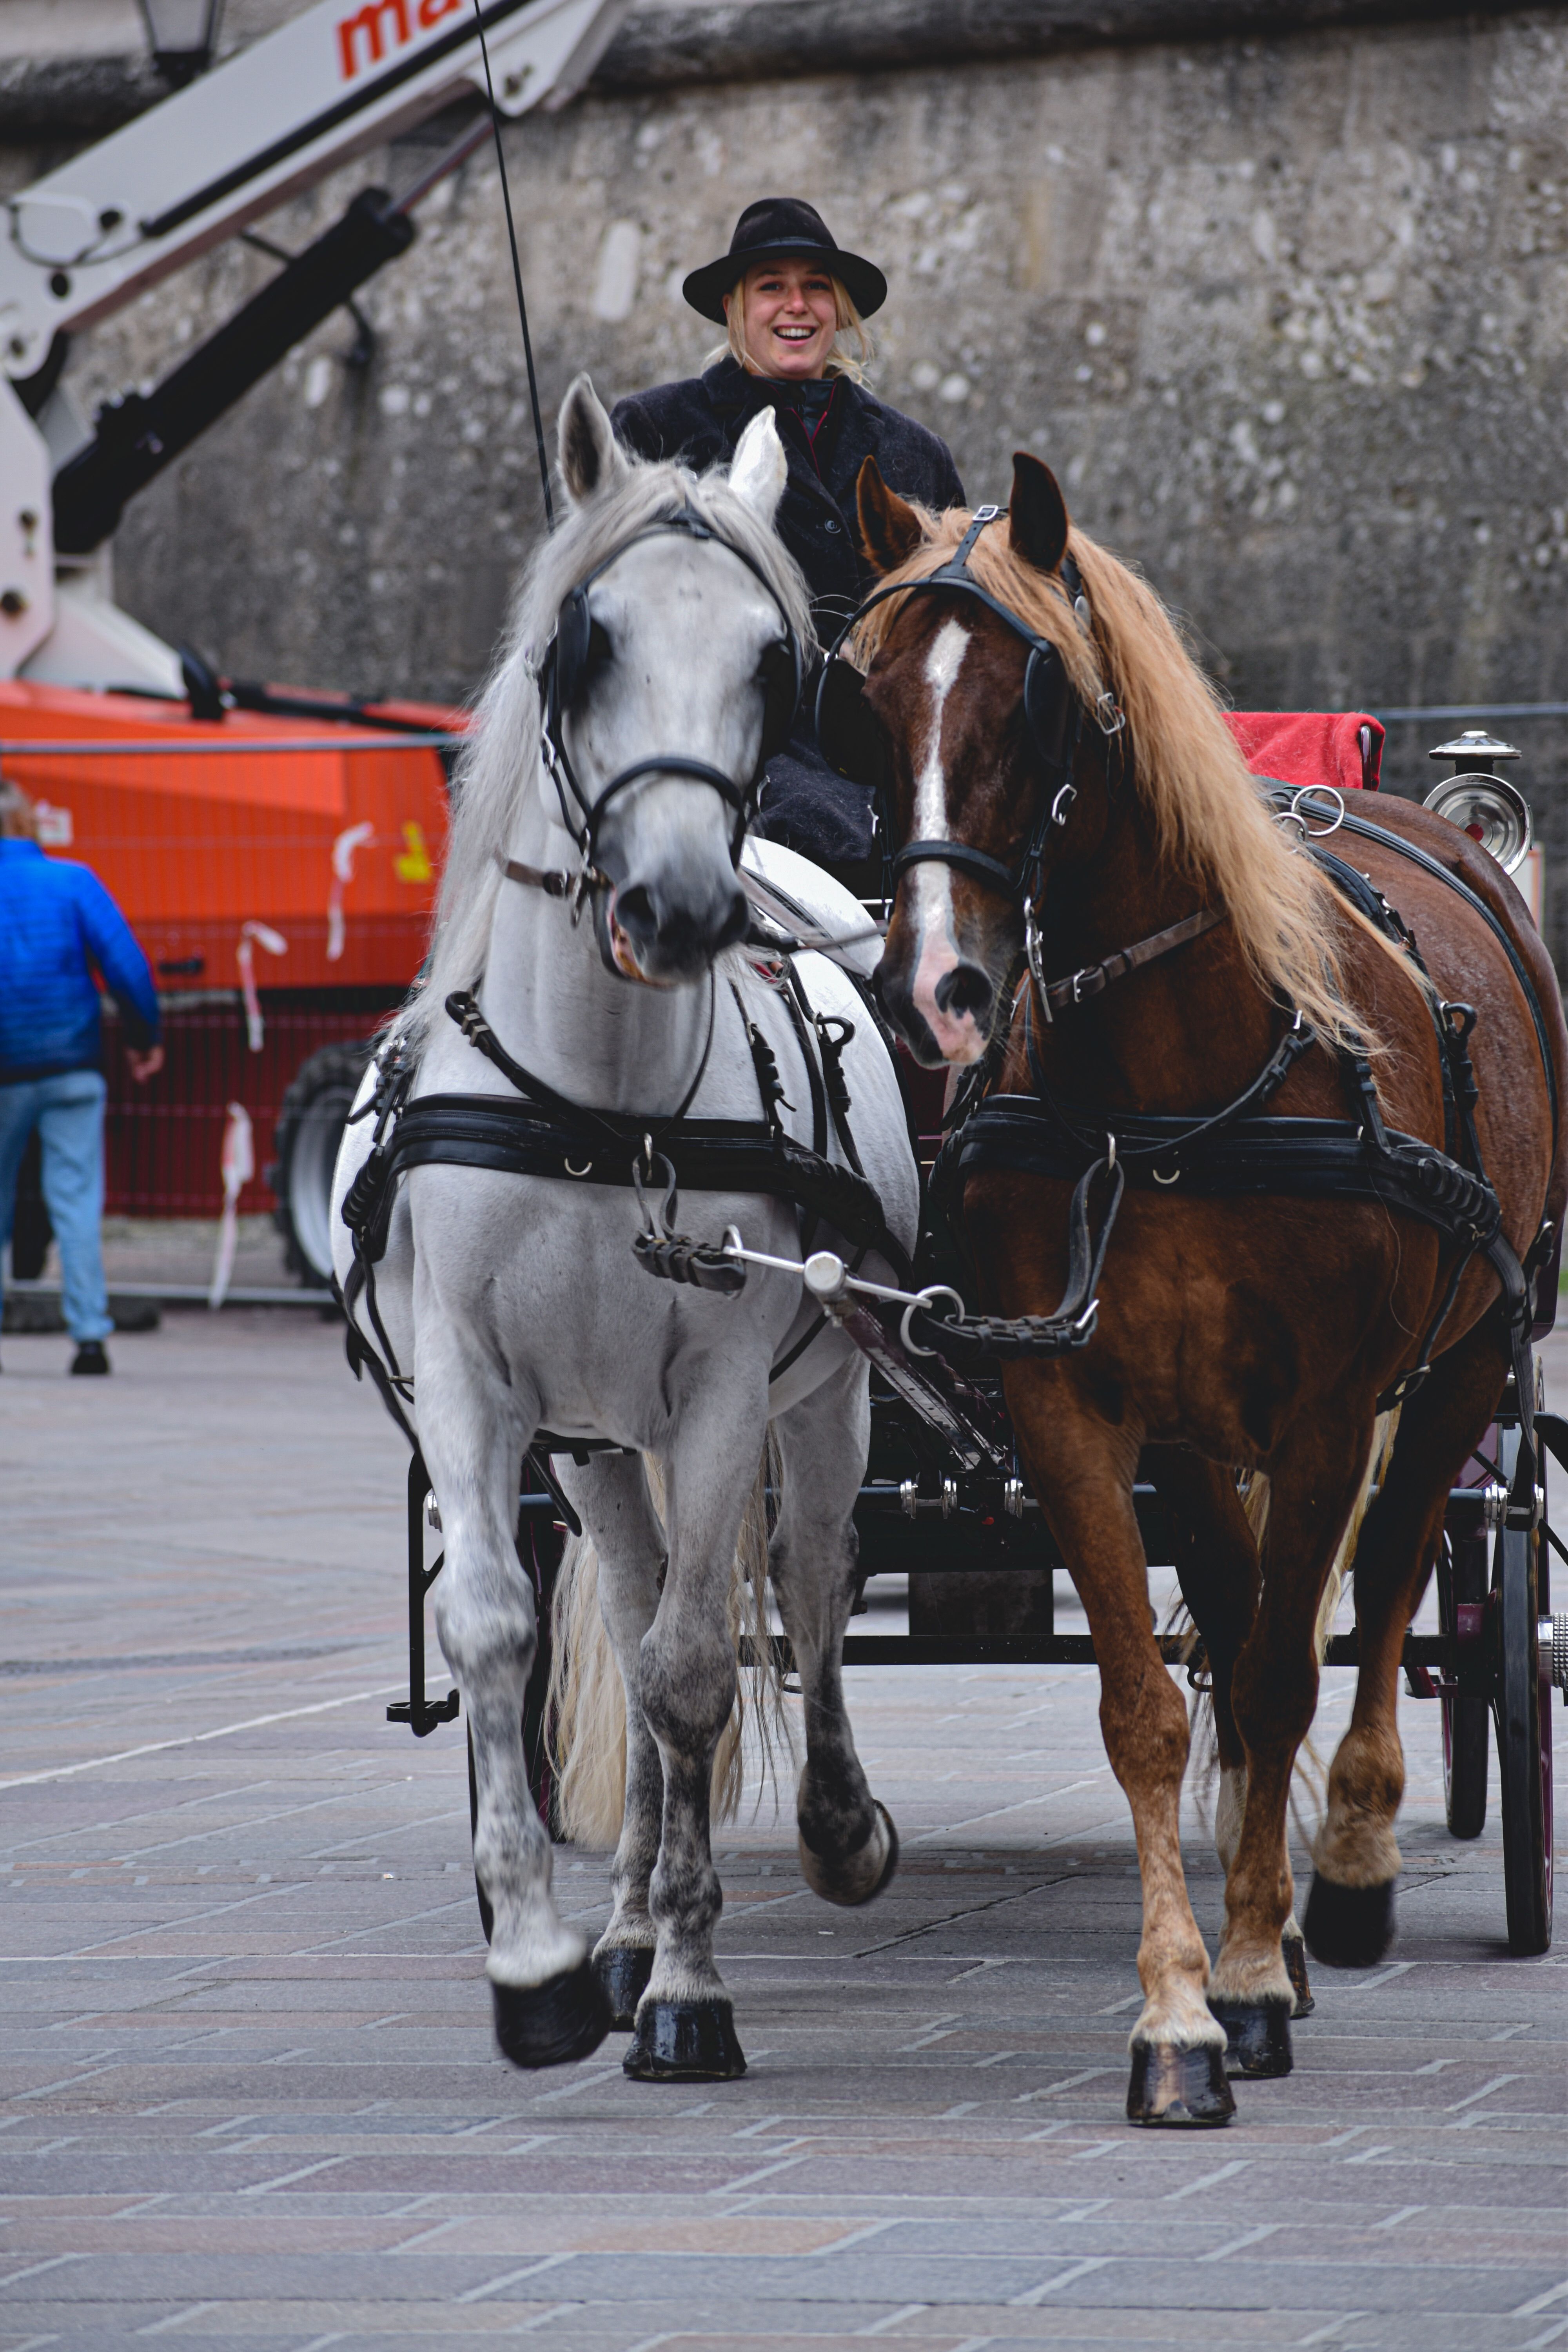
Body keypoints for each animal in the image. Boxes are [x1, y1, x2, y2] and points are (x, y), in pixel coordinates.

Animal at [332, 379, 917, 2082]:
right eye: (581, 646)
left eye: (775, 661)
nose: (677, 907)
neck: (599, 1103)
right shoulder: (478, 1389)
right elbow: (498, 1631)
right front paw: (543, 1958)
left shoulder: (724, 1388)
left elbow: (692, 1665)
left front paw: (690, 1995)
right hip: (595, 1444)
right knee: (634, 1588)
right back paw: (633, 1912)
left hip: (827, 1389)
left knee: (808, 1576)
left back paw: (827, 1831)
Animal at [824, 450, 1566, 2125]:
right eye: (864, 695)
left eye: (1033, 703)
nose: (930, 994)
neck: (1174, 1092)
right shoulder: (1080, 1404)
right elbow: (1152, 1706)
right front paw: (1183, 2010)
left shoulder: (1329, 1409)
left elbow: (1297, 1665)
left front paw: (1256, 1967)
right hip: (1204, 1425)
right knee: (1236, 1617)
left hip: (1467, 1357)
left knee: (1399, 1575)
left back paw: (1343, 1869)